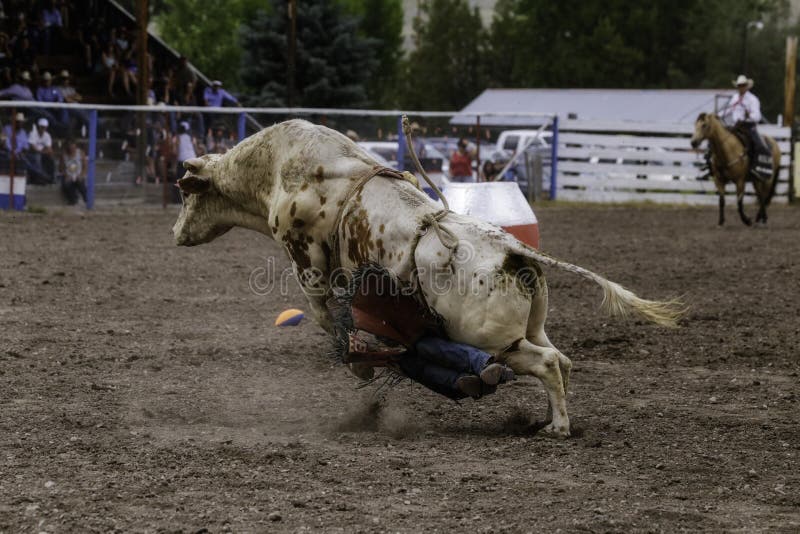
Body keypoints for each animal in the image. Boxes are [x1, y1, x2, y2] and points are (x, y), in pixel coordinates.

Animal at [173, 119, 684, 438]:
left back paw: (556, 427)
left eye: (186, 196)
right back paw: (549, 419)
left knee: (546, 364)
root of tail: (514, 252)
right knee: (562, 359)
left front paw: (359, 363)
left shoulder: (307, 259)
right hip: (533, 324)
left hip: (495, 339)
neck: (277, 166)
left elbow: (326, 315)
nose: (176, 232)